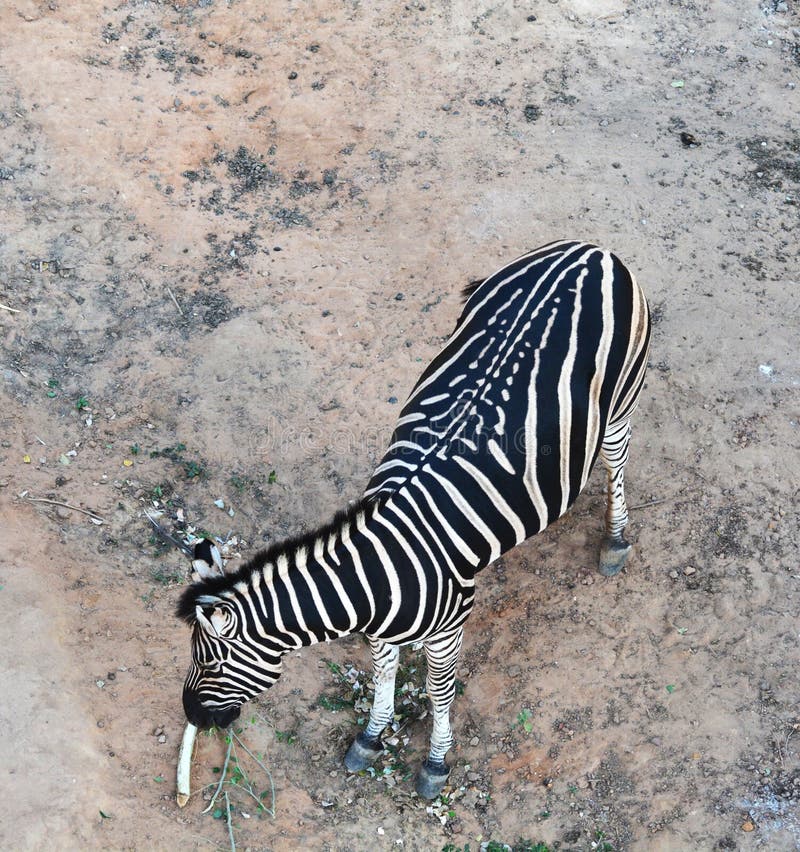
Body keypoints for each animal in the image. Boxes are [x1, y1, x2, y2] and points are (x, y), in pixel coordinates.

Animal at [176, 239, 651, 799]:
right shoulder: (381, 629)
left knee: (617, 461)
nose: (191, 714)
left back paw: (615, 540)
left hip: (622, 401)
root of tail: (590, 249)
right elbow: (384, 674)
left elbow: (438, 690)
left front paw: (436, 762)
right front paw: (372, 735)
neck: (375, 576)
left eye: (209, 661)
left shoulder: (451, 625)